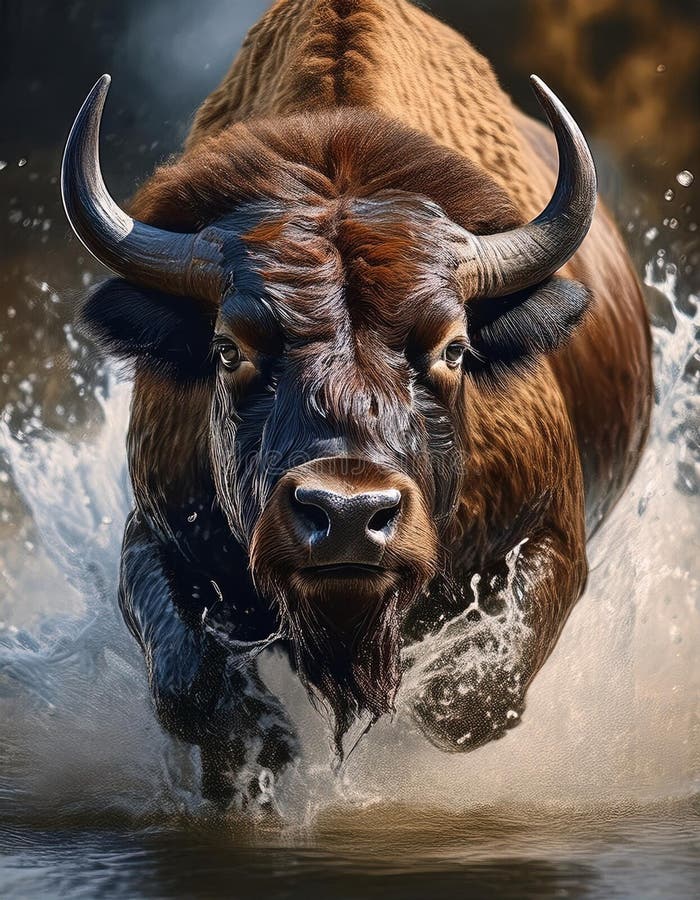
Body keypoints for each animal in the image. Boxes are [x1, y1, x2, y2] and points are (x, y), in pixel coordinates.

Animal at [62, 0, 652, 806]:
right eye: (229, 349)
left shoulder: (550, 536)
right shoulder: (157, 532)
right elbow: (187, 682)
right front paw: (262, 748)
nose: (345, 515)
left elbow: (471, 697)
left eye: (453, 349)